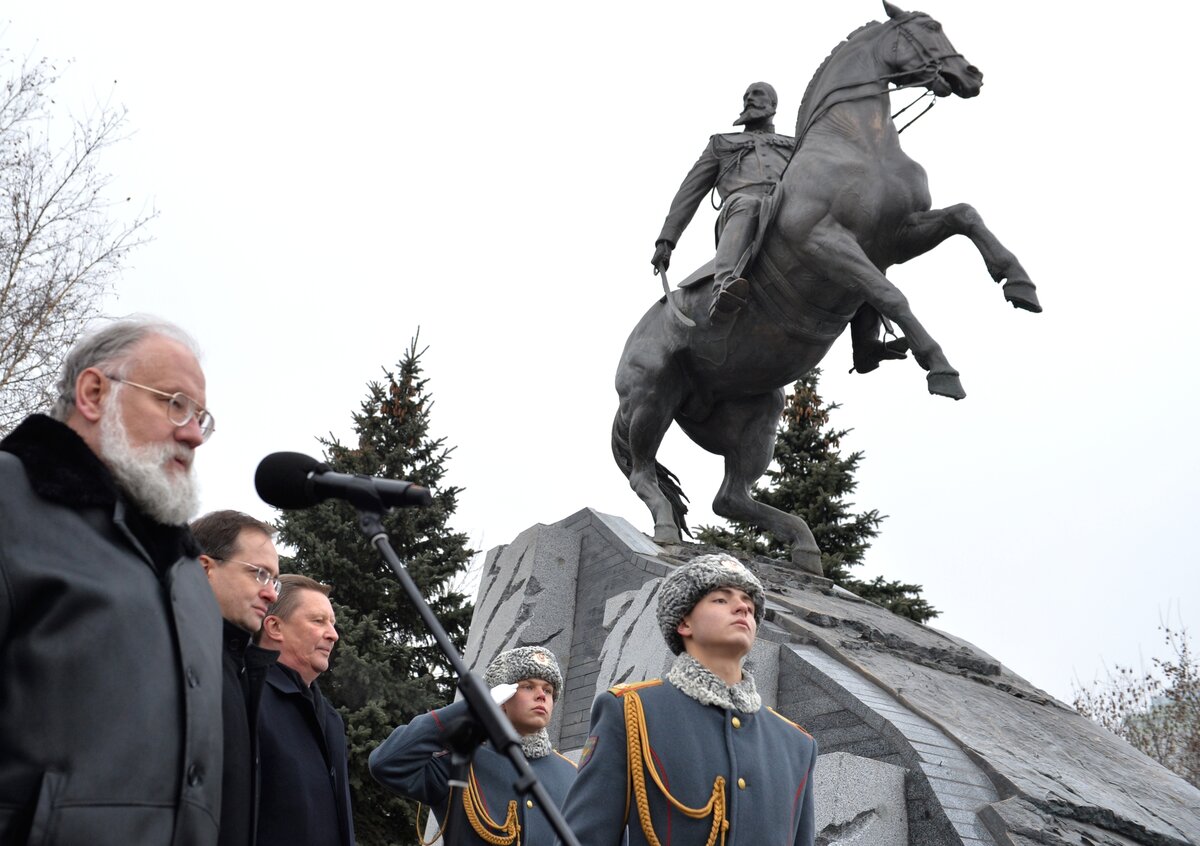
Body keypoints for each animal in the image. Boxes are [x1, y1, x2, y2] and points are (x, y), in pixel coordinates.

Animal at [614, 1, 1036, 573]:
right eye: (927, 28)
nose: (970, 75)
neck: (860, 143)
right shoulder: (828, 244)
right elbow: (892, 295)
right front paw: (941, 369)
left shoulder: (897, 239)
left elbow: (966, 216)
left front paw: (1020, 284)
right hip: (651, 396)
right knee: (644, 472)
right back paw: (665, 529)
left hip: (757, 413)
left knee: (729, 497)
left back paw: (805, 546)